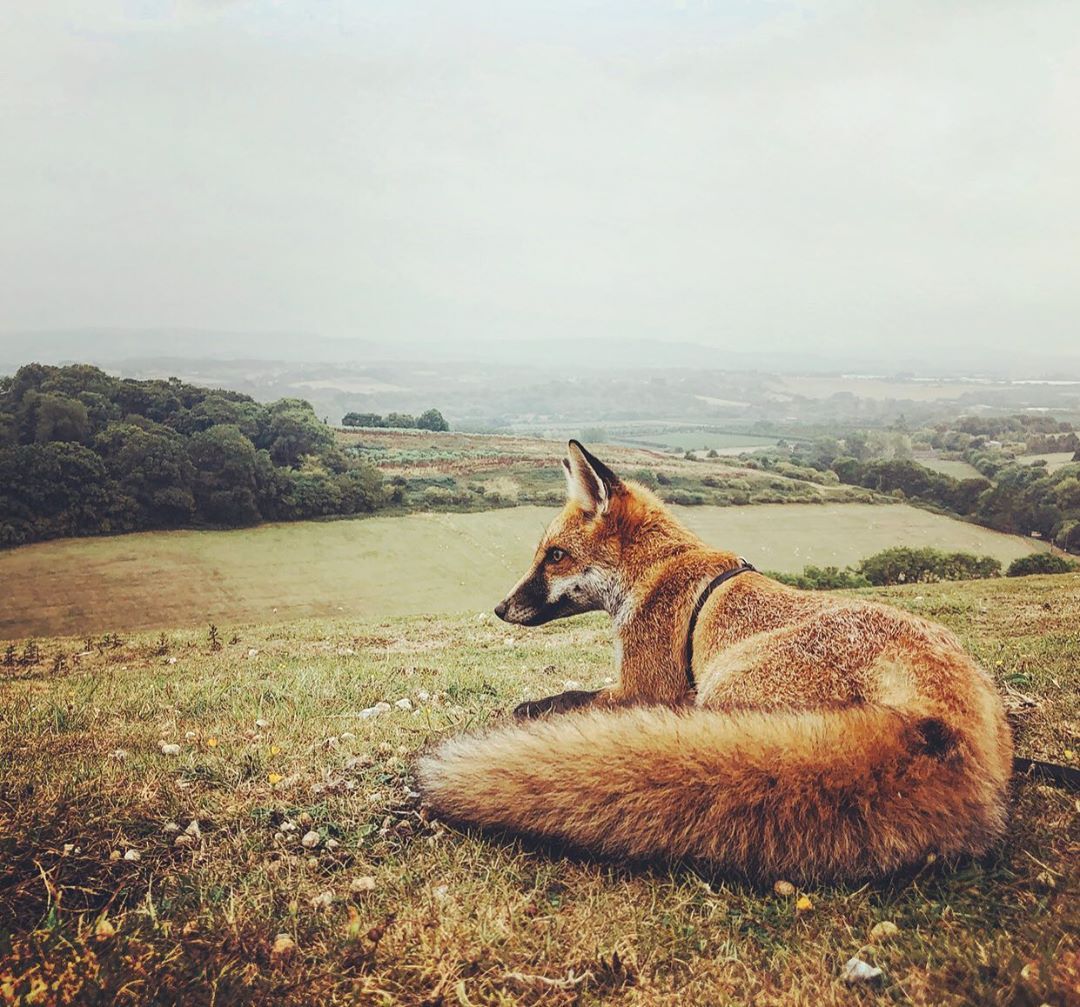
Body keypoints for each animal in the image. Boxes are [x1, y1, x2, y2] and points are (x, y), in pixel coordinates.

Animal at [416, 441, 1015, 883]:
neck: (657, 570)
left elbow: (559, 698)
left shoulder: (643, 686)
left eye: (555, 557)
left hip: (722, 688)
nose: (500, 608)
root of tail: (945, 727)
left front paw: (534, 709)